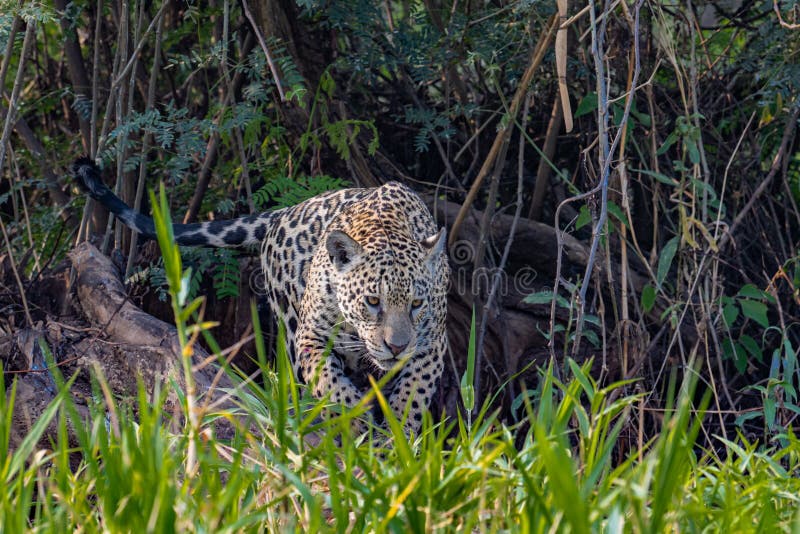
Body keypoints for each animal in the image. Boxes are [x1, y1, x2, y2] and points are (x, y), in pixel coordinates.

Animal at [71, 157, 449, 435]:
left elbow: (411, 397)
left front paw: (396, 441)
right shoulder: (311, 339)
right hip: (289, 323)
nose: (396, 347)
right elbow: (330, 385)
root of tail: (283, 213)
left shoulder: (430, 345)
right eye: (372, 302)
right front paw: (355, 419)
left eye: (416, 304)